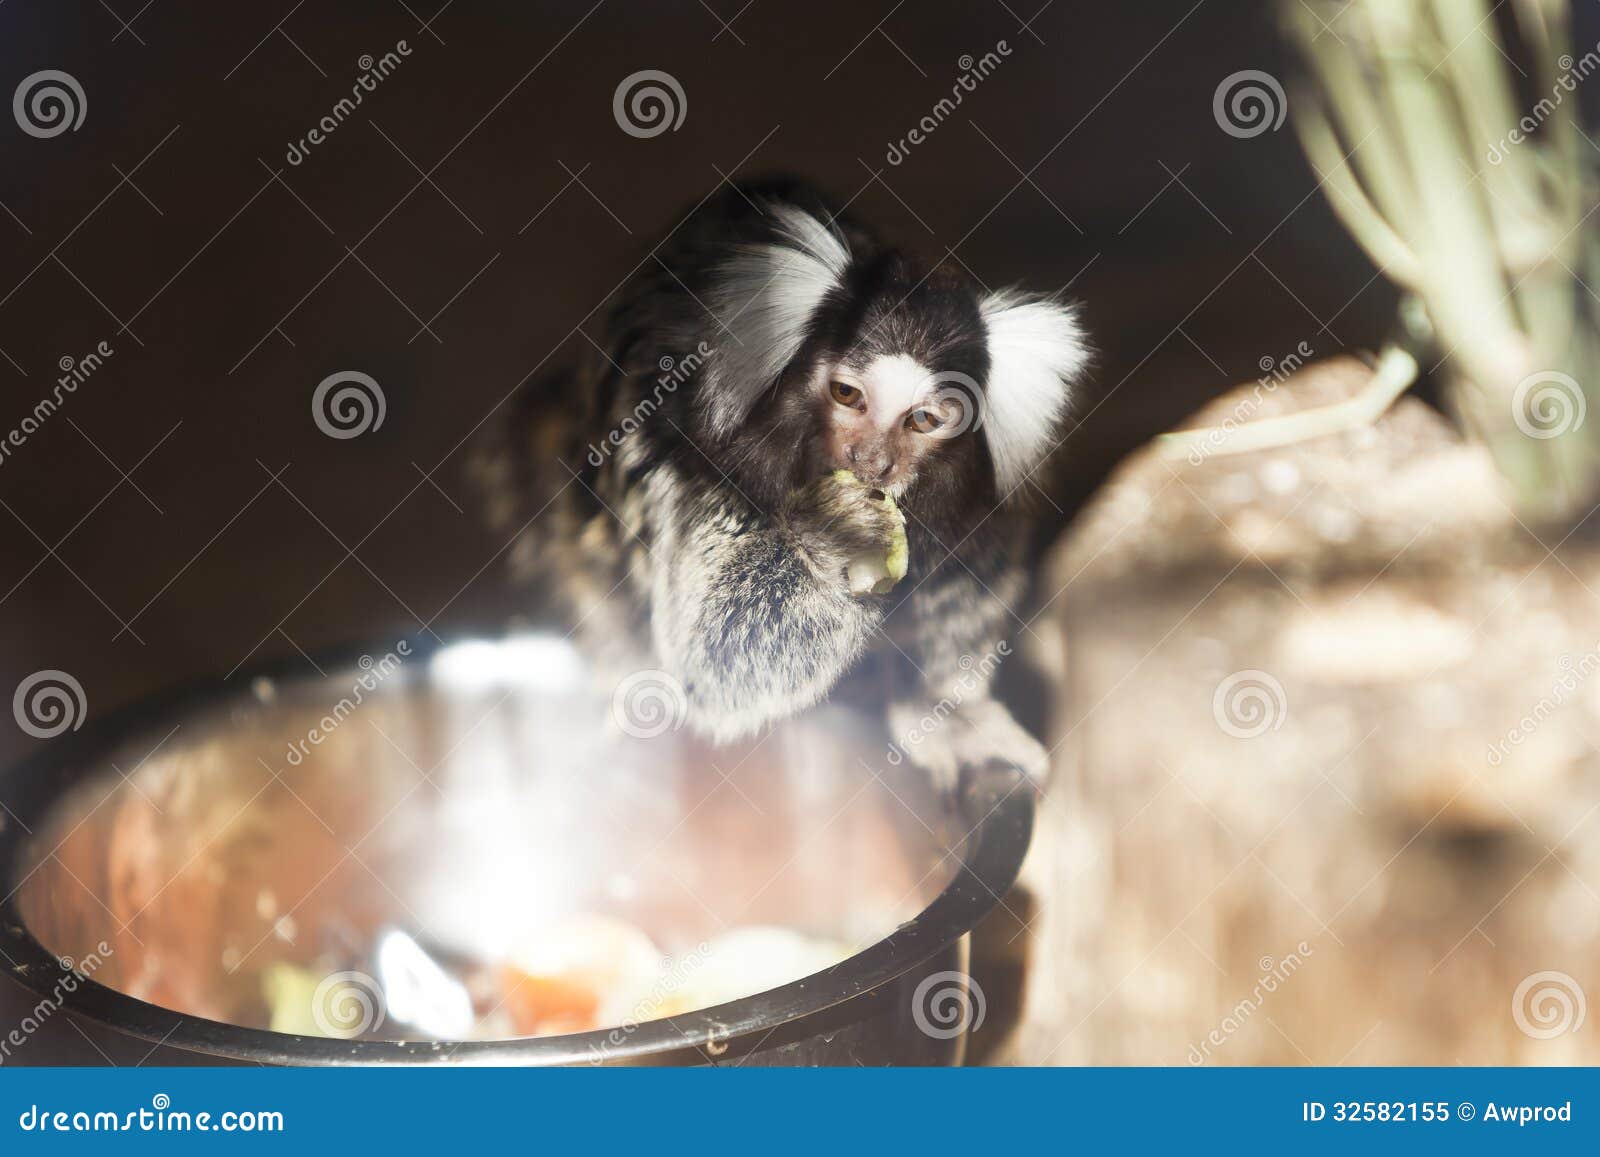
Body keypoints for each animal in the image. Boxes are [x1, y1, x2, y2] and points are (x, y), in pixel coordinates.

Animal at [473, 177, 1088, 790]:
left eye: (923, 420)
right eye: (846, 394)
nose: (873, 463)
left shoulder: (984, 510)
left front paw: (945, 712)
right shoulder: (691, 468)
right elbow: (714, 655)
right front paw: (829, 538)